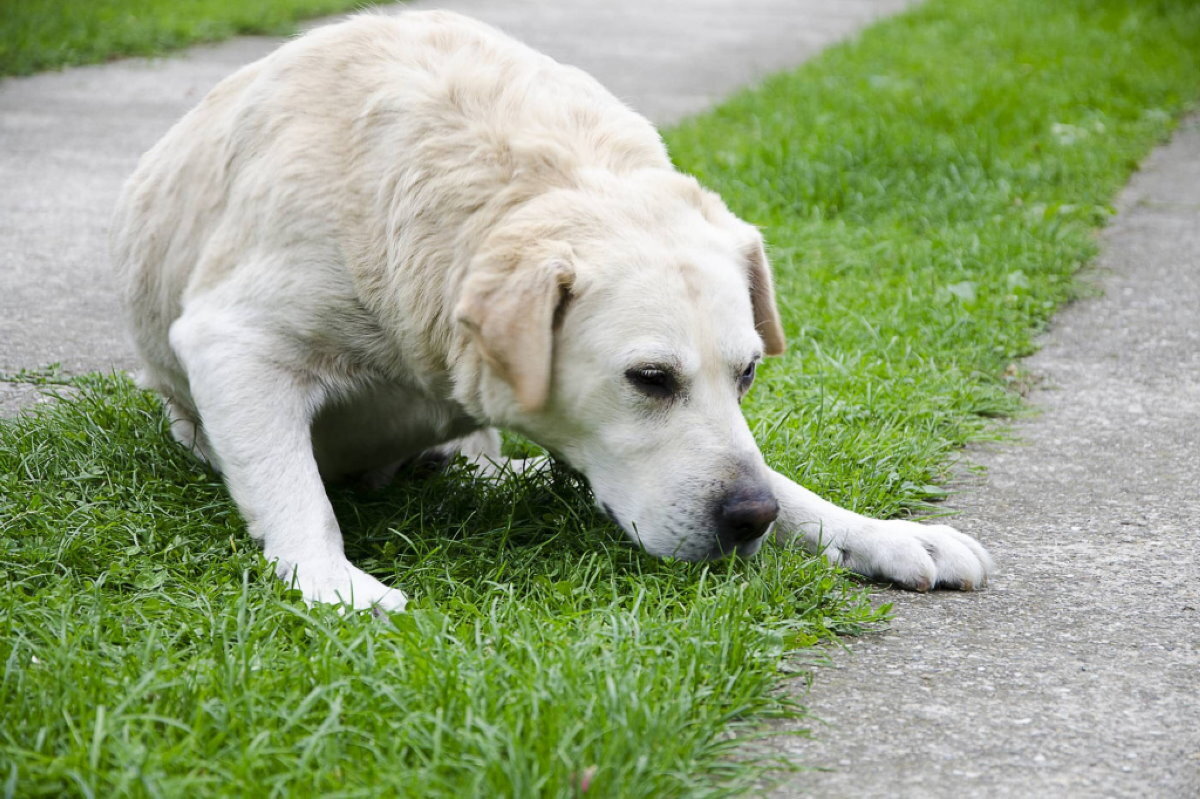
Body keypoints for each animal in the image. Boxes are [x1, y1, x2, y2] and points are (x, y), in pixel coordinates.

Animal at [112, 9, 993, 607]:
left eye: (747, 373)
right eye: (650, 378)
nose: (749, 517)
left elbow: (786, 479)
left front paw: (879, 531)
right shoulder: (232, 341)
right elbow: (298, 494)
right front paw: (335, 582)